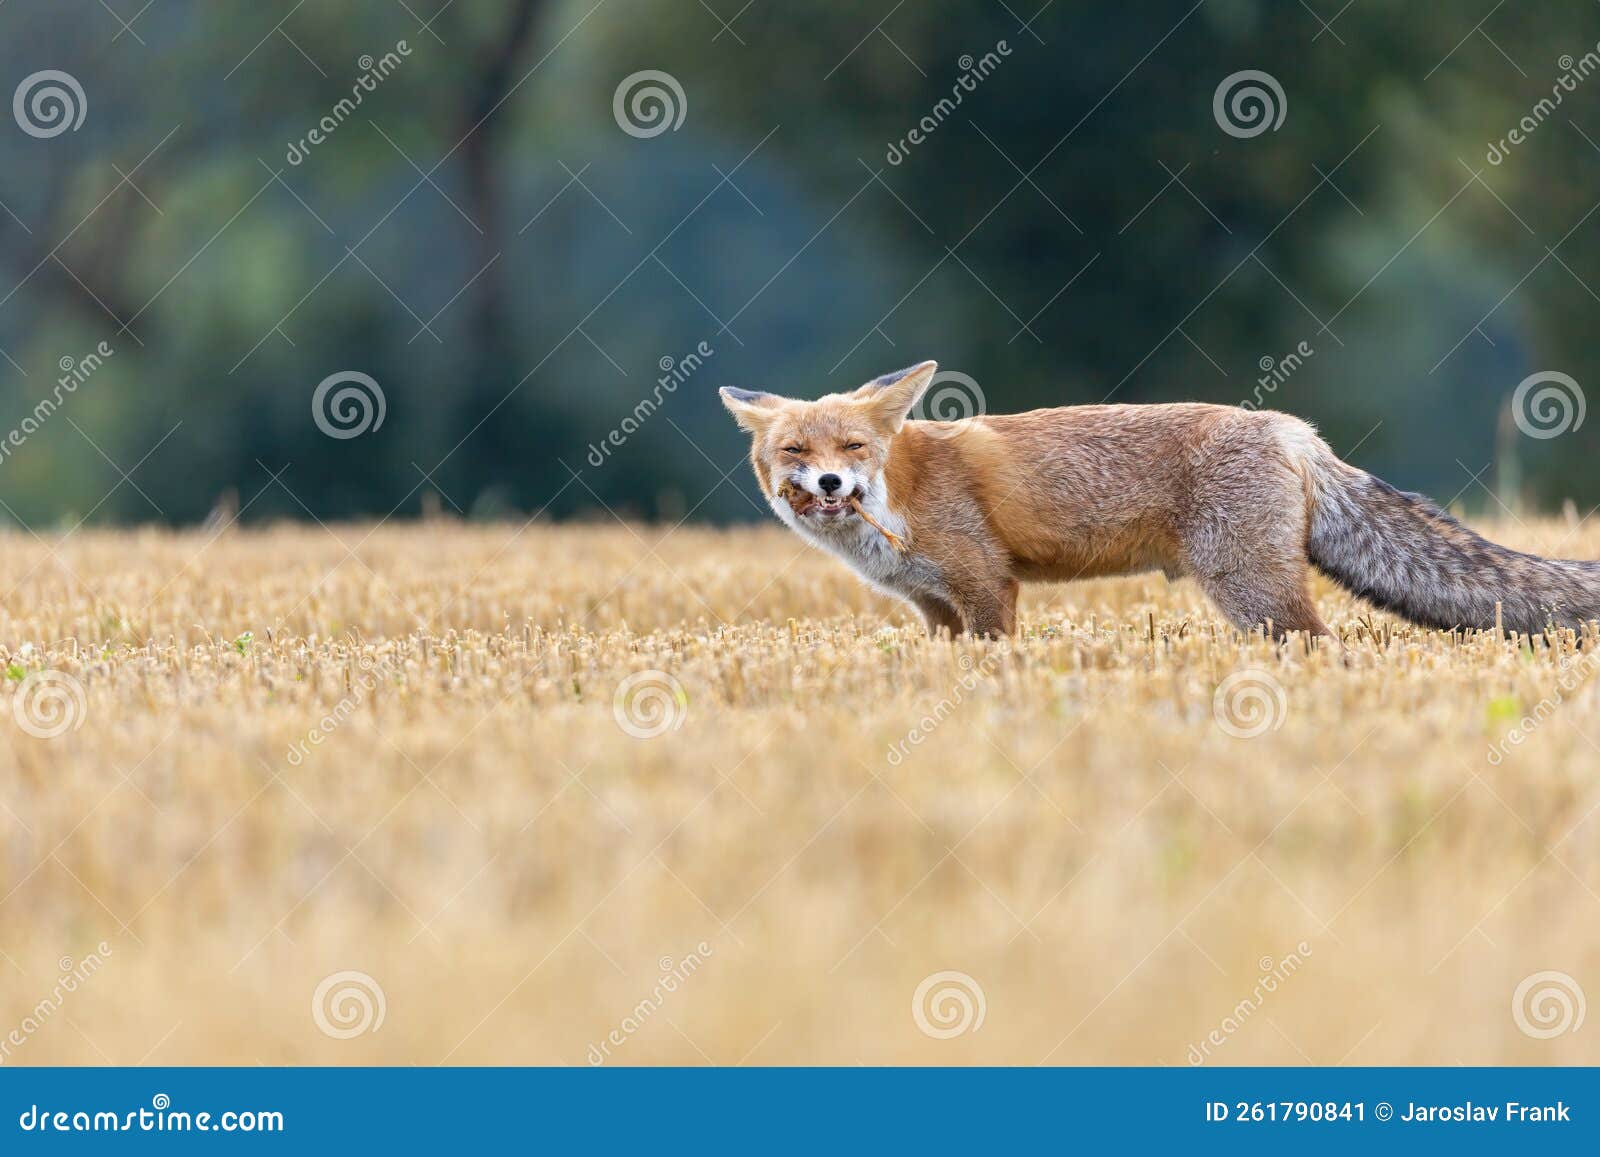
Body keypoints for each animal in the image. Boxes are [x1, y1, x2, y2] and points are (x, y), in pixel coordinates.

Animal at [720, 360, 1600, 639]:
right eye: (795, 452)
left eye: (852, 449)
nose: (832, 485)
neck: (899, 496)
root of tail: (1292, 428)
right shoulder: (936, 608)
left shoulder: (987, 586)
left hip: (1251, 590)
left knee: (1326, 647)